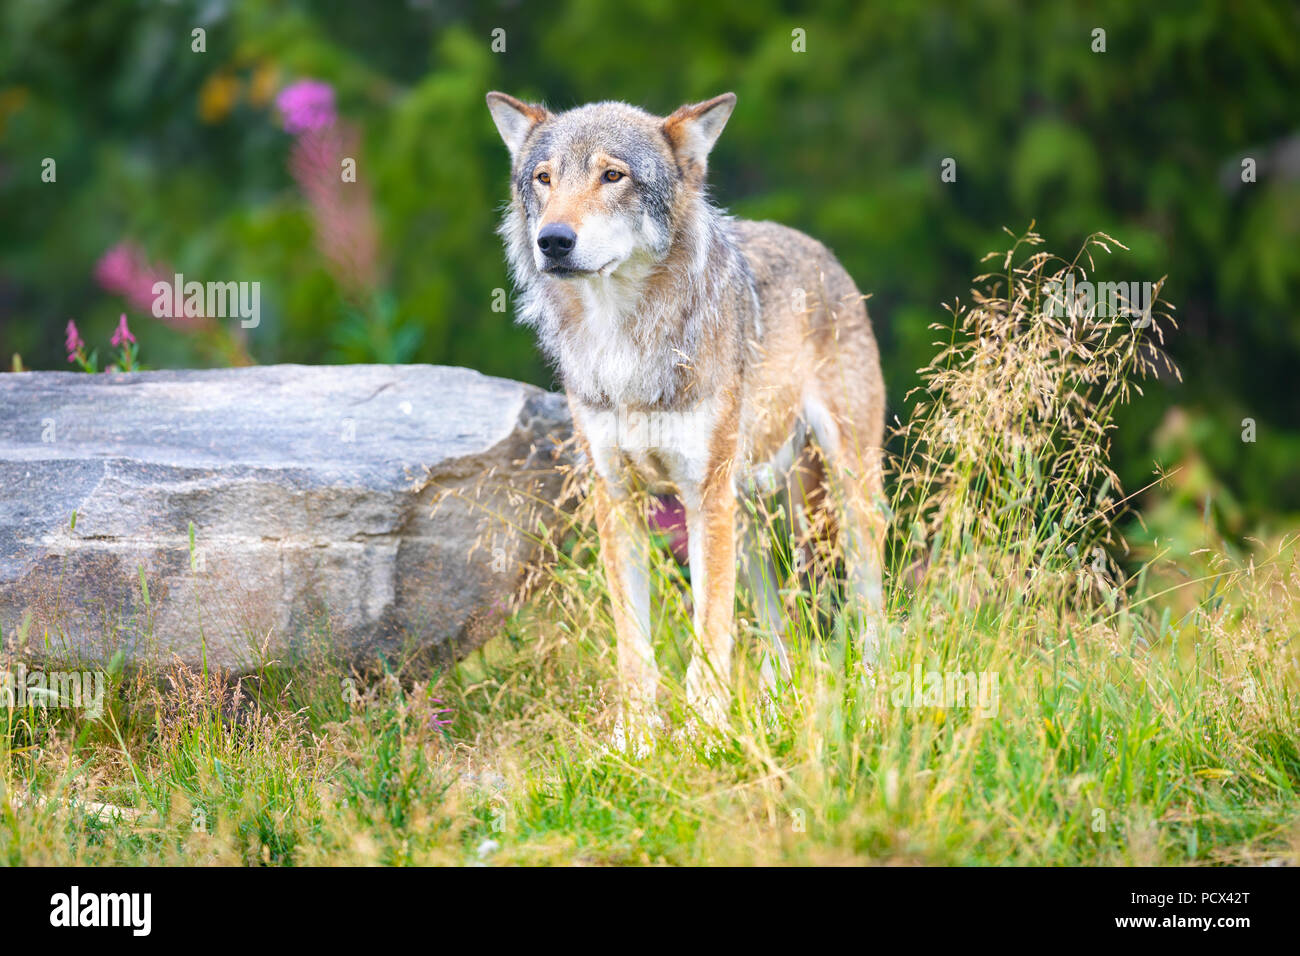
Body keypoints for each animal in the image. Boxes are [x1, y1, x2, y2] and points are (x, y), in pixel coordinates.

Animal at [487, 91, 886, 740]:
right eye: (544, 179)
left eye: (613, 176)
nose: (553, 240)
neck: (624, 344)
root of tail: (818, 248)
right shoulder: (615, 497)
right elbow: (634, 643)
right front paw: (635, 737)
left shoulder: (703, 495)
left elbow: (710, 625)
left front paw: (705, 728)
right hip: (747, 518)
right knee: (775, 627)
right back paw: (773, 707)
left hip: (840, 487)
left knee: (869, 595)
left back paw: (875, 688)